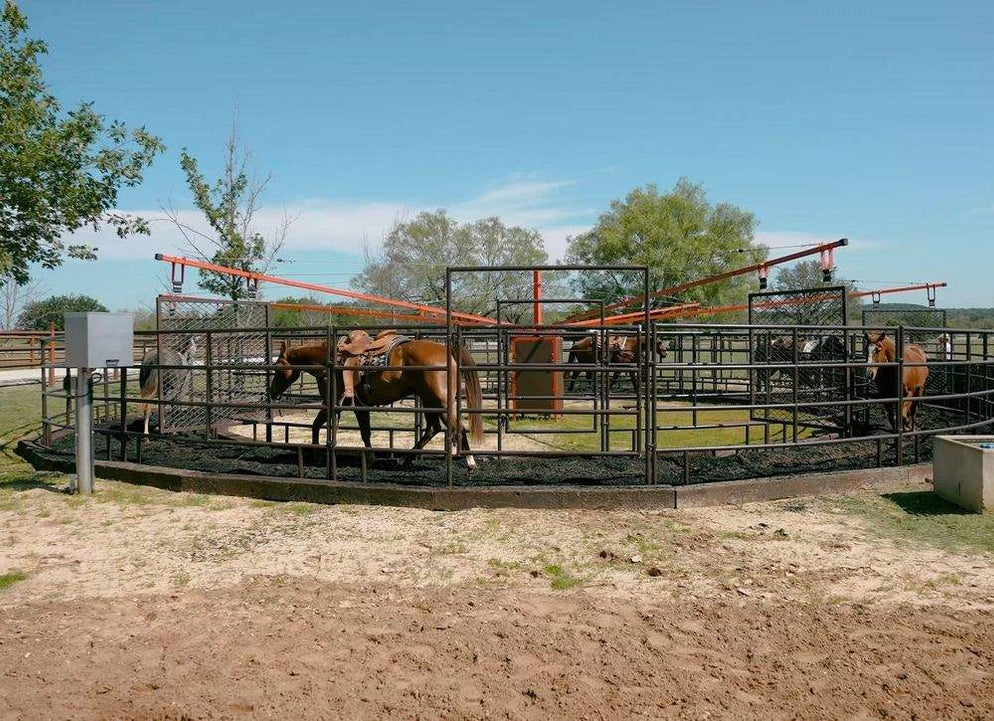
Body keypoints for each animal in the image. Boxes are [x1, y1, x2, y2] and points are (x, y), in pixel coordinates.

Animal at [267, 335, 483, 470]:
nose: (272, 392)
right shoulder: (355, 406)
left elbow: (317, 425)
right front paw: (369, 458)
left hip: (440, 402)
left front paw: (318, 456)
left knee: (457, 426)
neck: (329, 363)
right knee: (433, 428)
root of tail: (447, 349)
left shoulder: (334, 402)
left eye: (277, 367)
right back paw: (405, 460)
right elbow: (364, 431)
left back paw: (470, 462)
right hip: (429, 400)